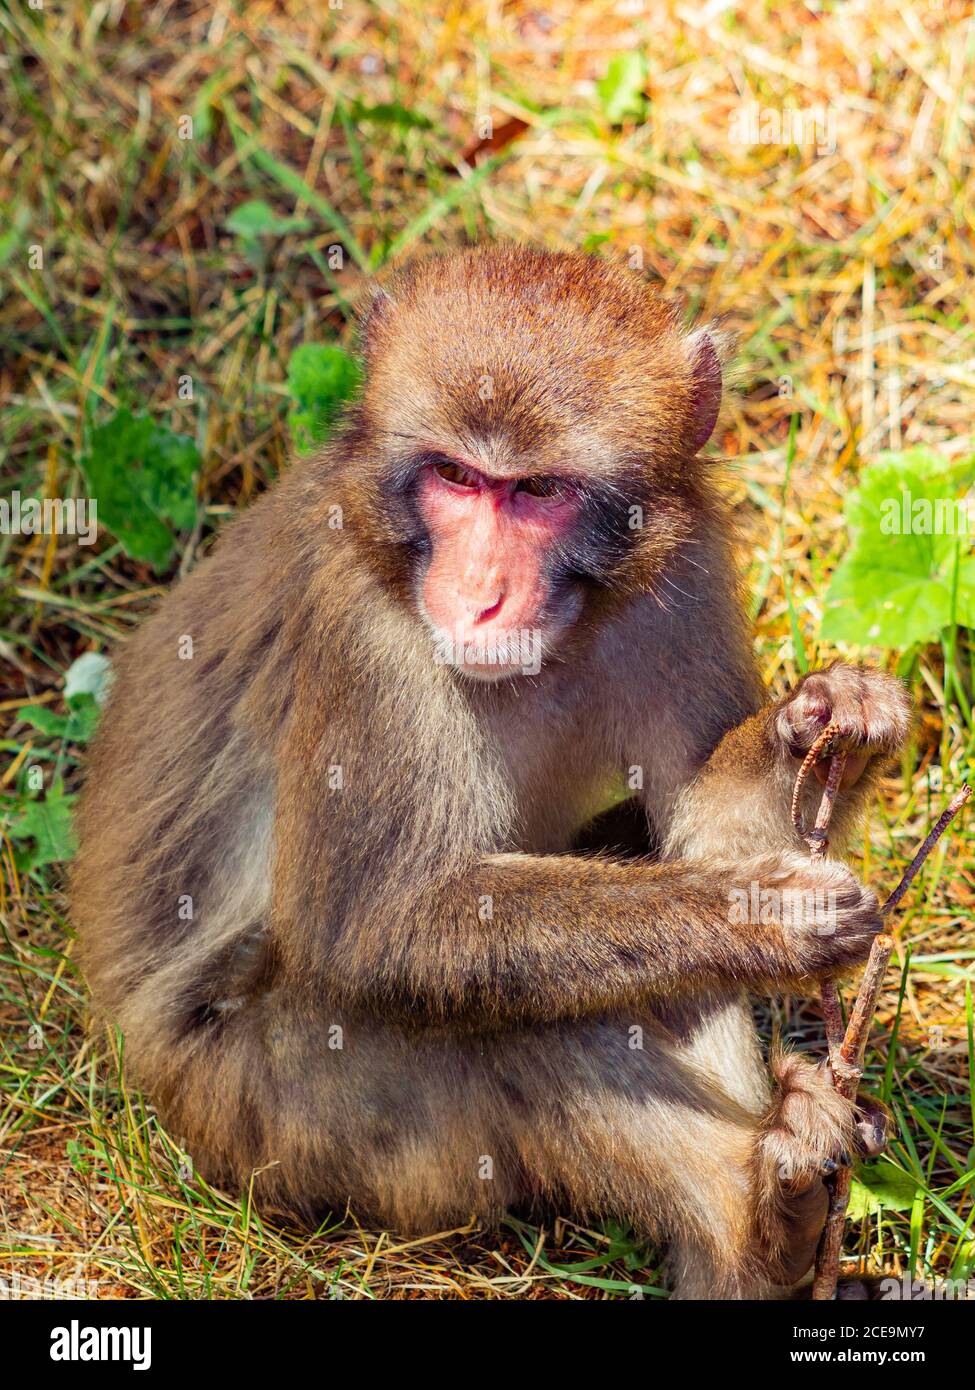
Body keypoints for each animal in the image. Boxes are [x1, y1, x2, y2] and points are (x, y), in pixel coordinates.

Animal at [72, 246, 911, 1299]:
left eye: (537, 492)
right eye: (454, 477)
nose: (475, 597)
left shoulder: (680, 571)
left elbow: (701, 827)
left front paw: (834, 721)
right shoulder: (367, 631)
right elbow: (377, 931)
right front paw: (762, 921)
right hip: (278, 1118)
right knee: (519, 1014)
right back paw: (759, 1234)